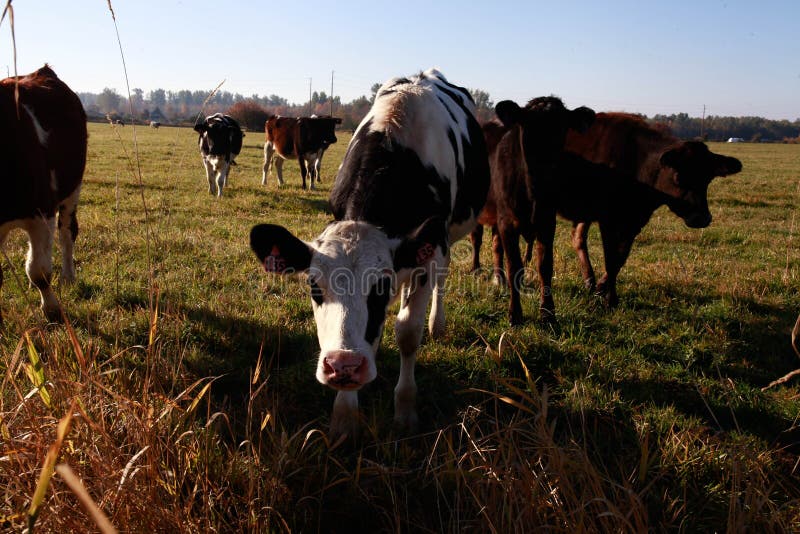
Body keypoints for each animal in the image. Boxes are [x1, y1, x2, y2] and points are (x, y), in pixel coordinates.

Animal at [0, 65, 87, 323]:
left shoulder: (42, 212)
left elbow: (39, 271)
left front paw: (52, 310)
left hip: (71, 192)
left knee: (67, 233)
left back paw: (68, 276)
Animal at [250, 69, 489, 438]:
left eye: (380, 288)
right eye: (314, 287)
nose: (343, 365)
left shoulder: (431, 248)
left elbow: (408, 332)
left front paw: (405, 410)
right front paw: (345, 417)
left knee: (440, 283)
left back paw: (436, 323)